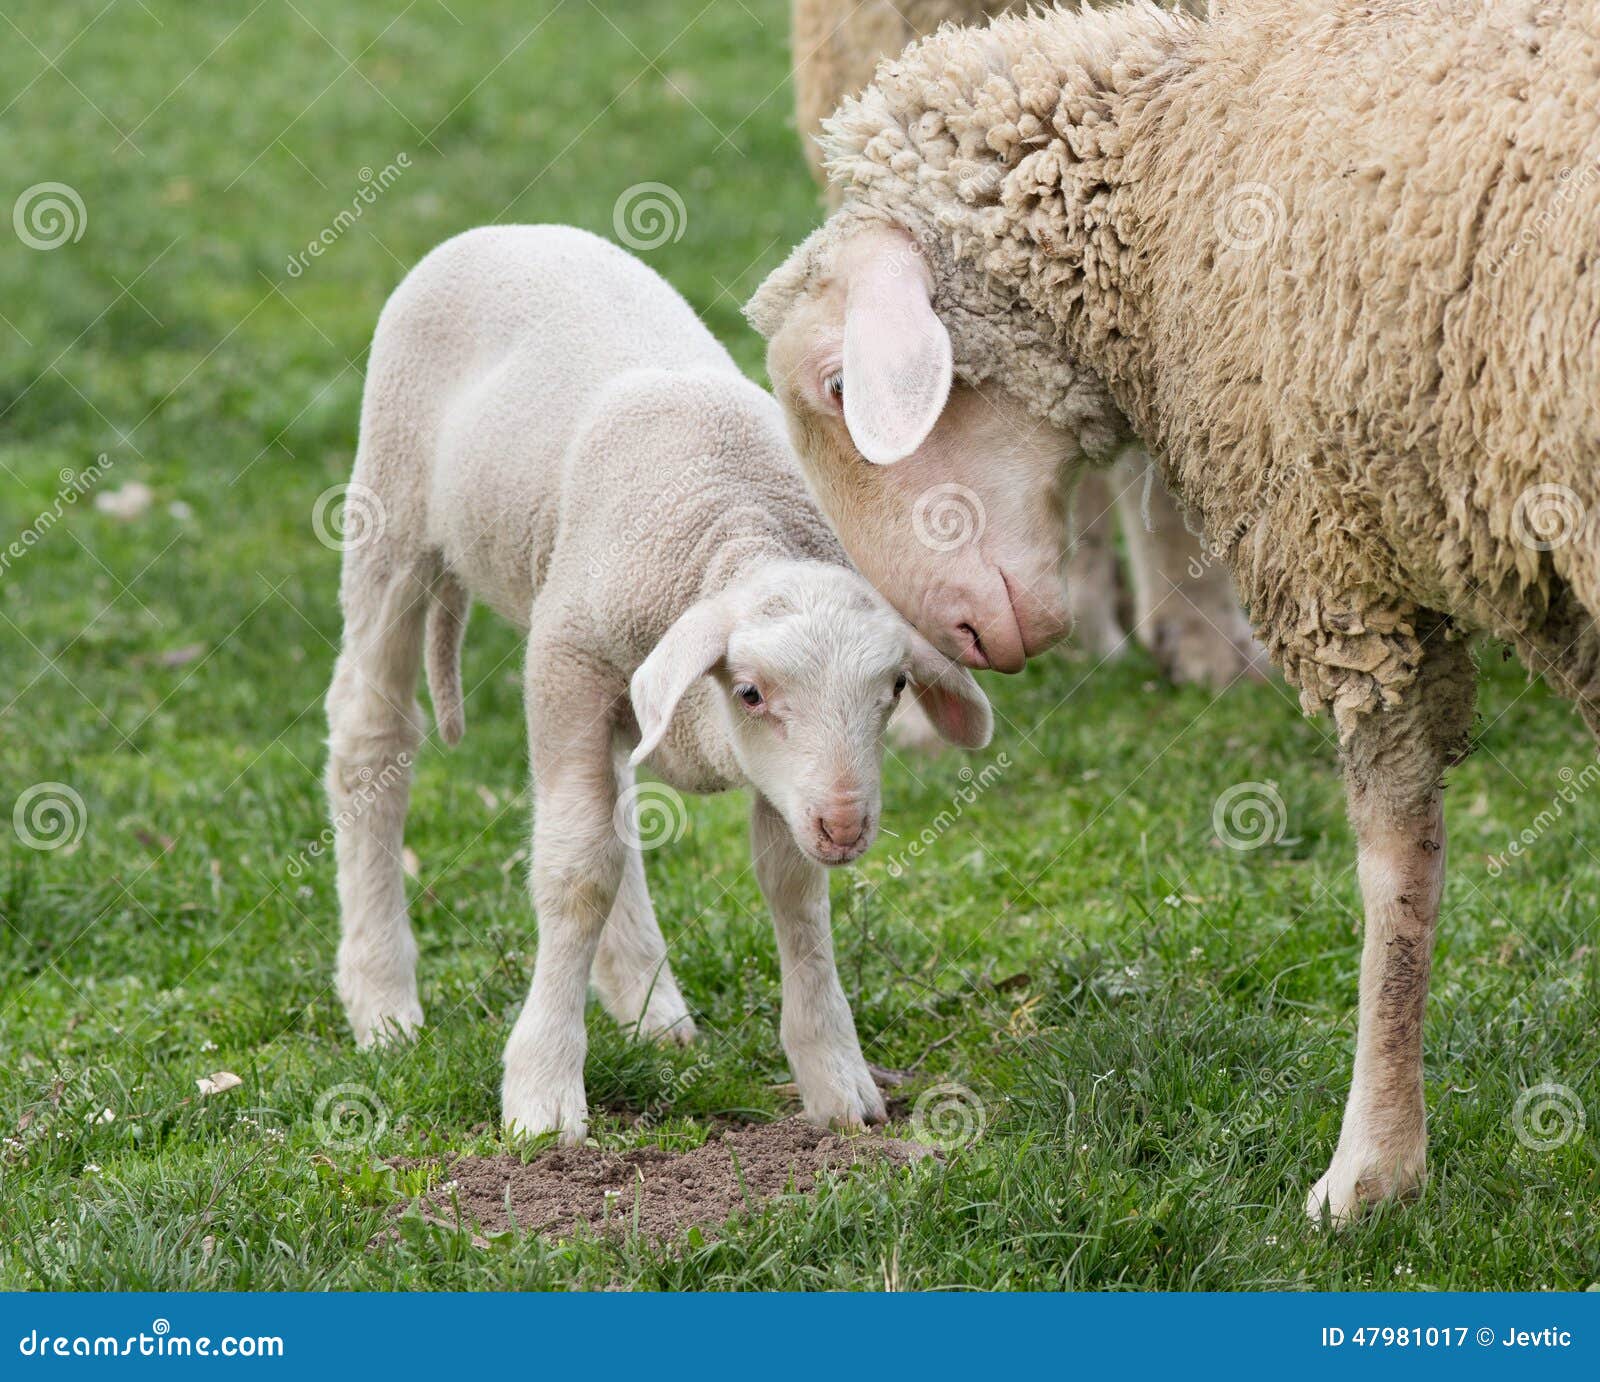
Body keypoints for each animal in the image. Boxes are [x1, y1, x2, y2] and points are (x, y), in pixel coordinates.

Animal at [324, 224, 992, 1143]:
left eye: (893, 690)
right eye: (751, 692)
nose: (846, 826)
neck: (732, 525)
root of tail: (510, 230)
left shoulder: (775, 775)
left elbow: (793, 892)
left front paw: (834, 1076)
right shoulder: (566, 664)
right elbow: (576, 873)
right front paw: (543, 1093)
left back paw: (647, 1003)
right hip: (390, 509)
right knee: (373, 736)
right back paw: (383, 1000)